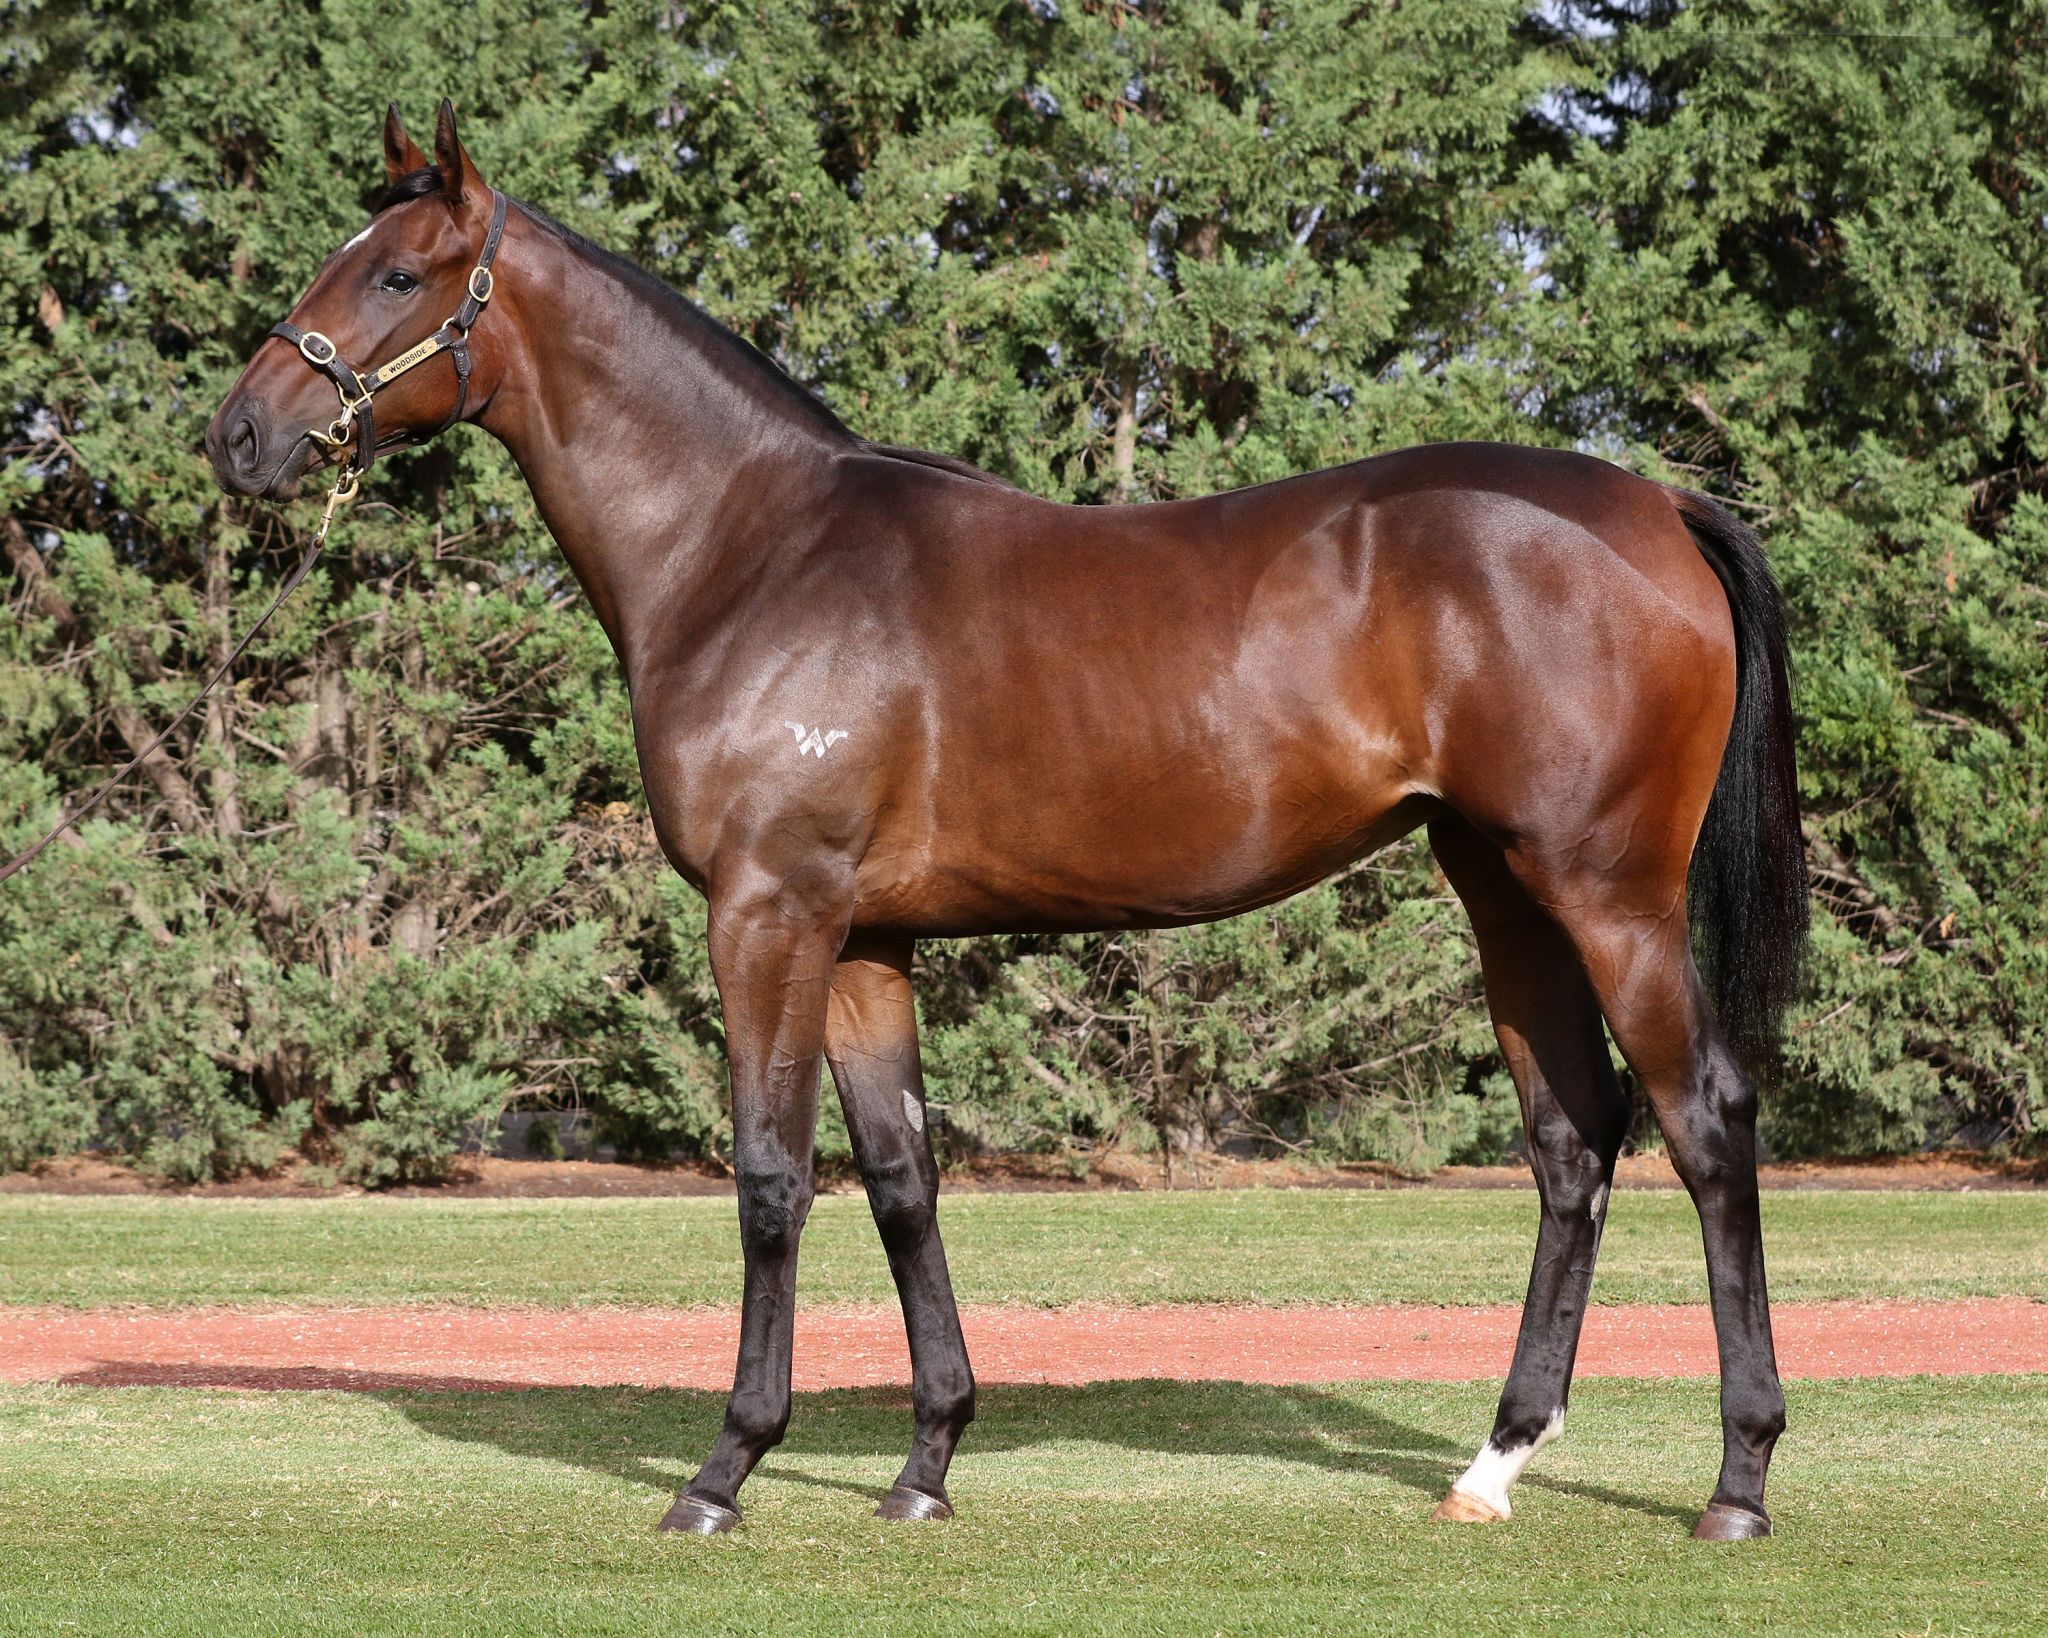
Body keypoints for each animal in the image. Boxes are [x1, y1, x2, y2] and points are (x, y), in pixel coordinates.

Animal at [205, 102, 1808, 1542]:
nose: (239, 435)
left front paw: (725, 1471)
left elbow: (771, 1177)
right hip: (1503, 889)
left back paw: (1737, 1480)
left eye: (398, 274)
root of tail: (1656, 506)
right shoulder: (866, 942)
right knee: (1571, 1142)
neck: (750, 548)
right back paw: (1494, 1463)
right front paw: (925, 1465)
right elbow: (901, 1180)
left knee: (1705, 1123)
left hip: (1609, 896)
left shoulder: (768, 914)